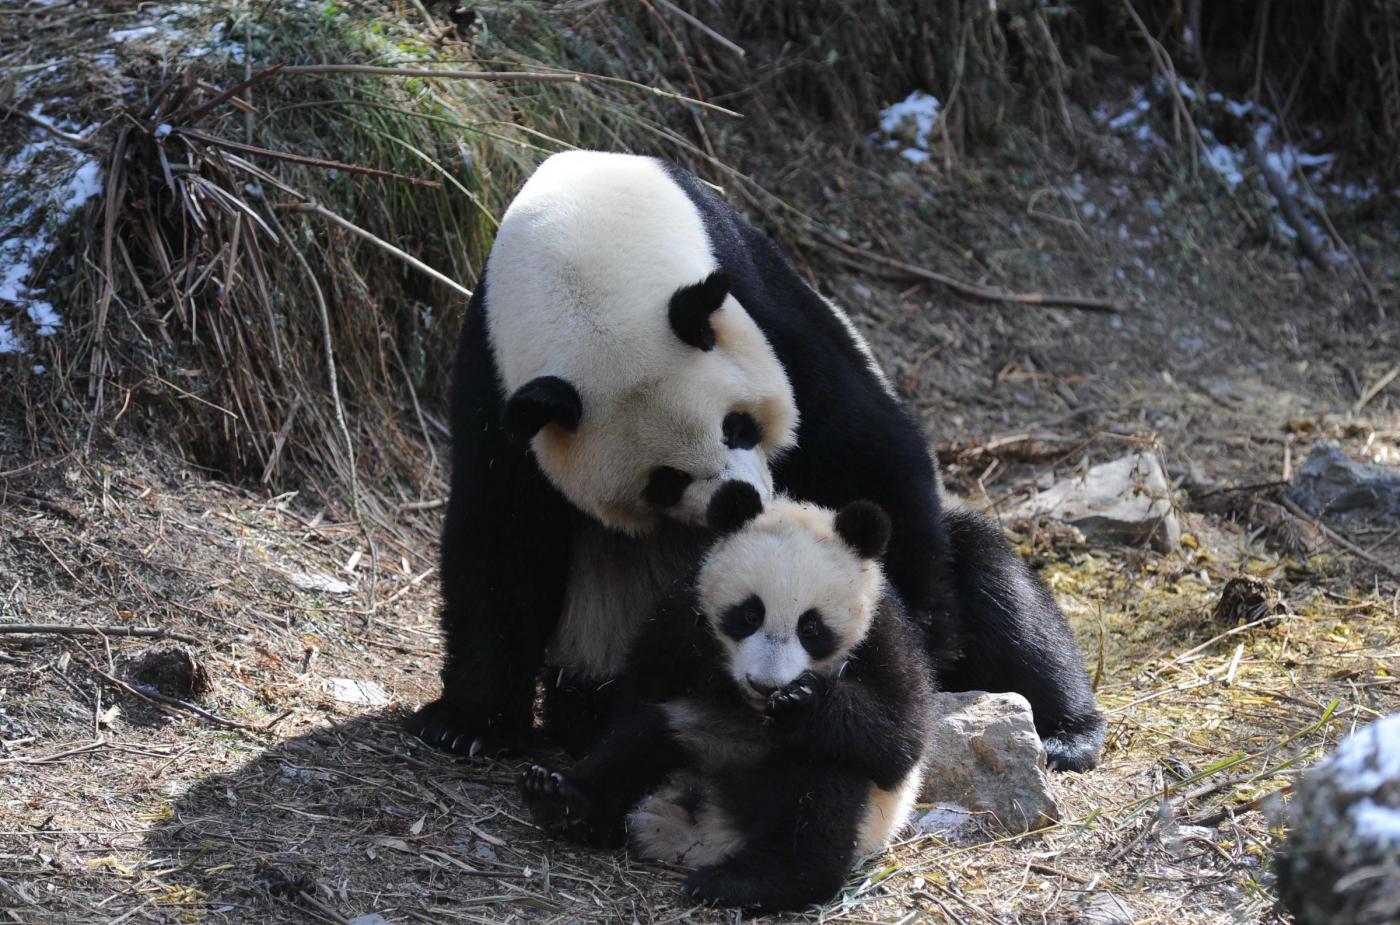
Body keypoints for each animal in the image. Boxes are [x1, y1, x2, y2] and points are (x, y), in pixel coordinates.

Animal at [408, 150, 1106, 770]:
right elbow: (499, 532)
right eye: (663, 481)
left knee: (996, 585)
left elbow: (861, 443)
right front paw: (469, 724)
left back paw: (1064, 731)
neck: (581, 232)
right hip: (604, 622)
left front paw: (907, 636)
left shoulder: (756, 296)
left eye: (736, 425)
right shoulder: (497, 371)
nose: (741, 501)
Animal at [519, 485, 934, 912]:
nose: (766, 685)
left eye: (811, 627)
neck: (750, 707)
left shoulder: (885, 633)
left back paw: (752, 880)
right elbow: (637, 697)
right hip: (695, 732)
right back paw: (560, 798)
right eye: (750, 614)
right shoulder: (682, 616)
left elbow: (900, 737)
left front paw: (802, 702)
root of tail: (712, 827)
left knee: (820, 789)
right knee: (638, 742)